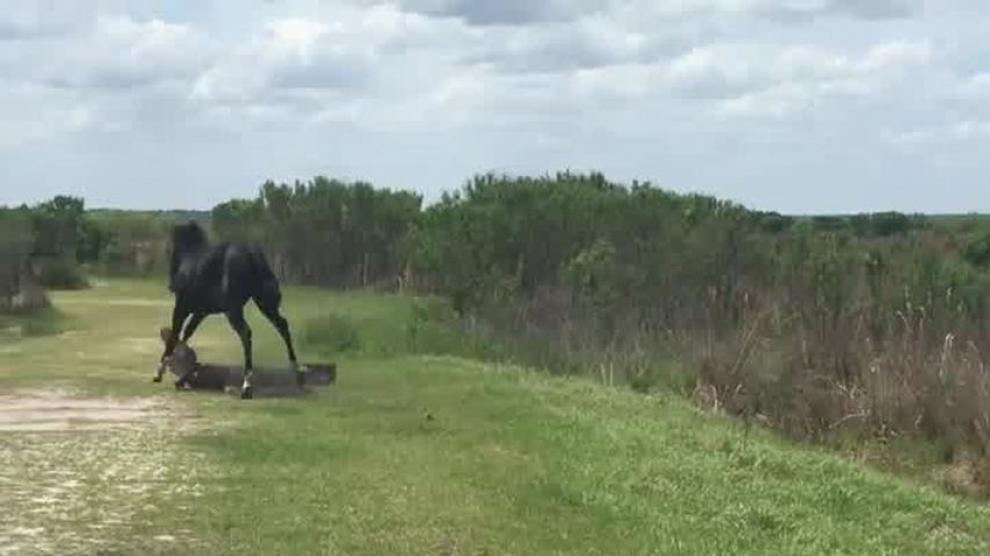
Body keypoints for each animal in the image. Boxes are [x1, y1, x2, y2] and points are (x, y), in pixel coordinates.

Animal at [154, 221, 301, 399]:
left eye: (169, 248)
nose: (171, 285)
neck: (190, 260)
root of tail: (253, 256)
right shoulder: (201, 312)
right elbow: (187, 333)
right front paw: (182, 374)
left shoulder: (182, 308)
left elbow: (175, 335)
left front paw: (160, 372)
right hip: (265, 304)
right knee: (282, 326)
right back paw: (296, 372)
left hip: (234, 310)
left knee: (246, 334)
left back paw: (247, 386)